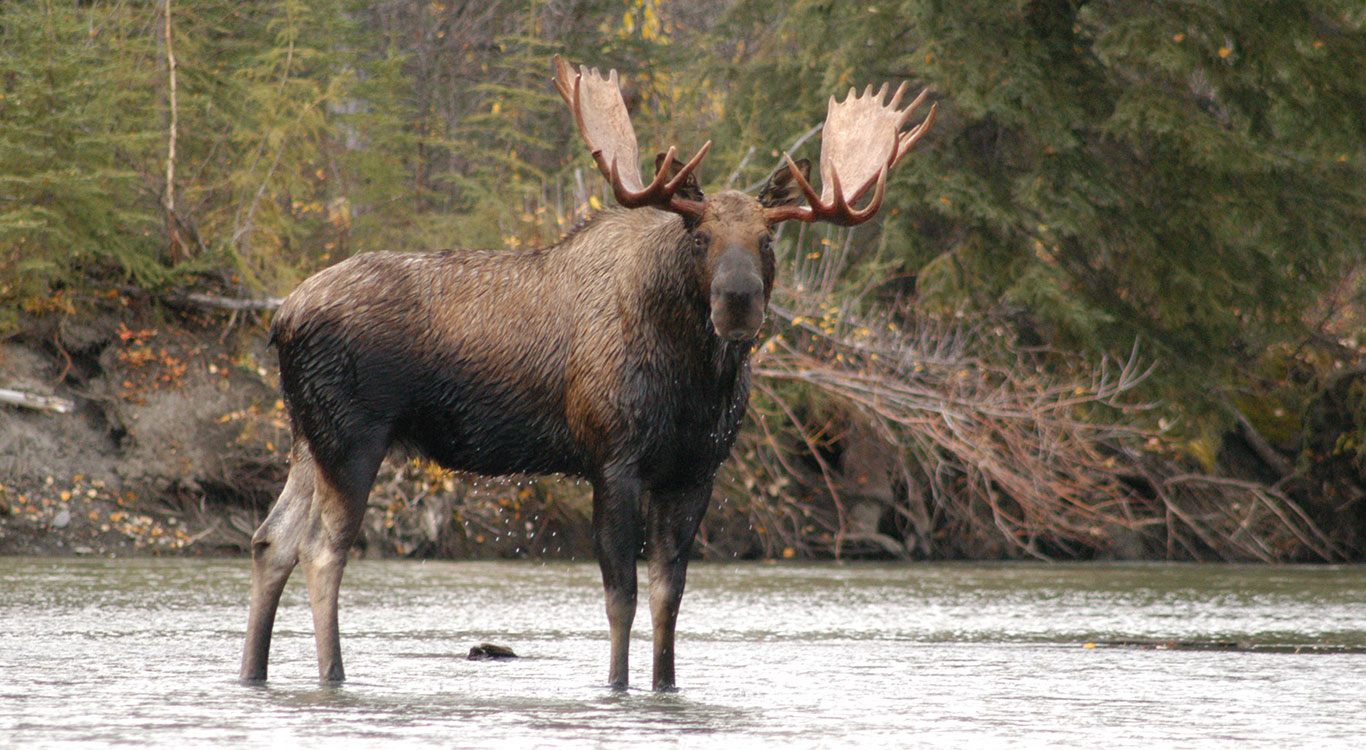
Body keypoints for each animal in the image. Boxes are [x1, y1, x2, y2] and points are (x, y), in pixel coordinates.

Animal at [239, 55, 934, 691]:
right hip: (354, 436)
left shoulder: (695, 471)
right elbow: (620, 594)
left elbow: (668, 598)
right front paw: (617, 686)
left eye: (767, 239)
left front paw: (665, 686)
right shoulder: (613, 459)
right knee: (321, 551)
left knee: (271, 540)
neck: (692, 386)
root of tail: (281, 317)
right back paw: (333, 675)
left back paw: (253, 672)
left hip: (309, 435)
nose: (739, 300)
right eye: (700, 237)